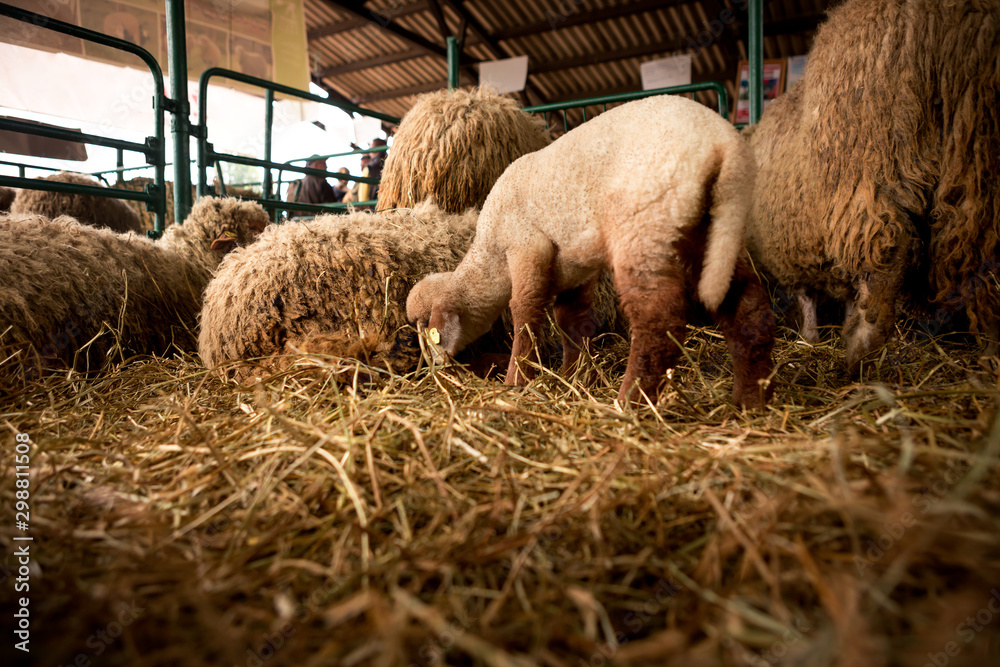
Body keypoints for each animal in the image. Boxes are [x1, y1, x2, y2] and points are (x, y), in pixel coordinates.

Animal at [407, 95, 775, 407]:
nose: (436, 370)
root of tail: (724, 143)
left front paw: (516, 380)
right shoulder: (573, 269)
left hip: (643, 225)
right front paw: (574, 376)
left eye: (427, 327)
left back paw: (629, 402)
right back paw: (750, 400)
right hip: (711, 231)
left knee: (659, 319)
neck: (490, 257)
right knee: (746, 303)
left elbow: (524, 312)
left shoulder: (527, 246)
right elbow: (571, 320)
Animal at [746, 0, 1000, 370]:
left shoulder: (791, 252)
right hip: (979, 149)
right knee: (984, 257)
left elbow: (809, 297)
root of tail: (949, 19)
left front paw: (812, 337)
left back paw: (862, 349)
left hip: (871, 158)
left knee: (888, 252)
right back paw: (993, 348)